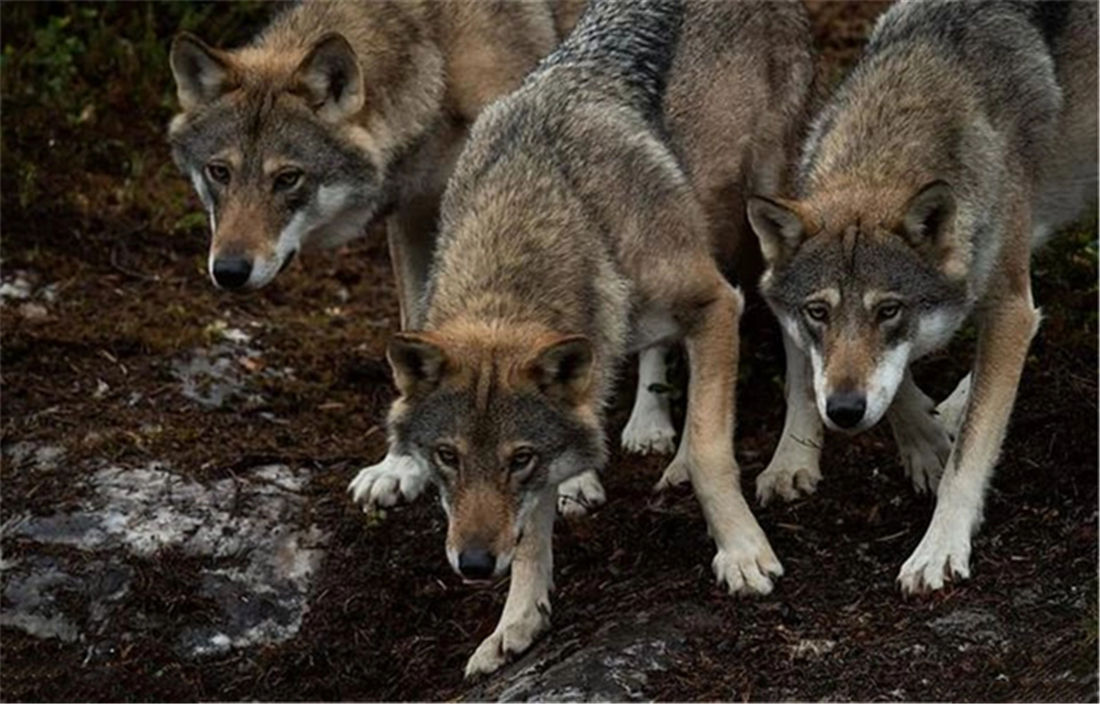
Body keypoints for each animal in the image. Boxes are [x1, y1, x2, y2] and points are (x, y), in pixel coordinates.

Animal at [356, 0, 813, 676]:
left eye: (518, 458)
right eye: (447, 457)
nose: (473, 565)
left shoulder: (713, 303)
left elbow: (713, 453)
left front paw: (742, 553)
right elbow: (532, 534)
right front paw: (517, 623)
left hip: (771, 223)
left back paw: (793, 462)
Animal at [747, 0, 1097, 593]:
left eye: (889, 310)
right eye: (818, 312)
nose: (843, 413)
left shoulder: (1008, 307)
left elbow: (969, 454)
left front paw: (939, 549)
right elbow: (890, 386)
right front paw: (924, 441)